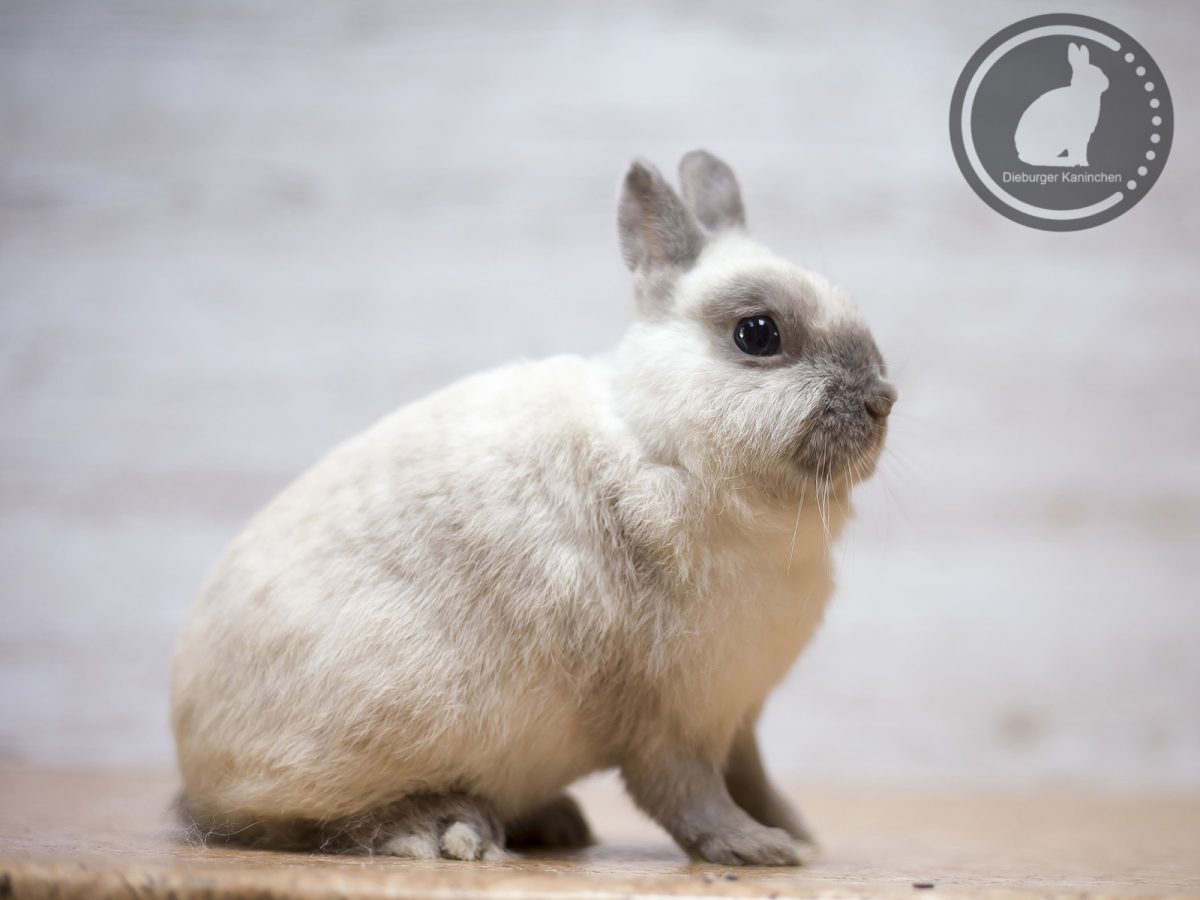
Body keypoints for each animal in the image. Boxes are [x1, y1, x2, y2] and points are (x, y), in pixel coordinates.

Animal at [170, 150, 896, 867]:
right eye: (757, 333)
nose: (882, 399)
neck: (667, 453)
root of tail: (192, 756)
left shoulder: (738, 713)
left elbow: (751, 777)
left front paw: (796, 832)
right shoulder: (667, 713)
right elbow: (688, 794)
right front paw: (757, 847)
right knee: (297, 824)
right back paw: (446, 828)